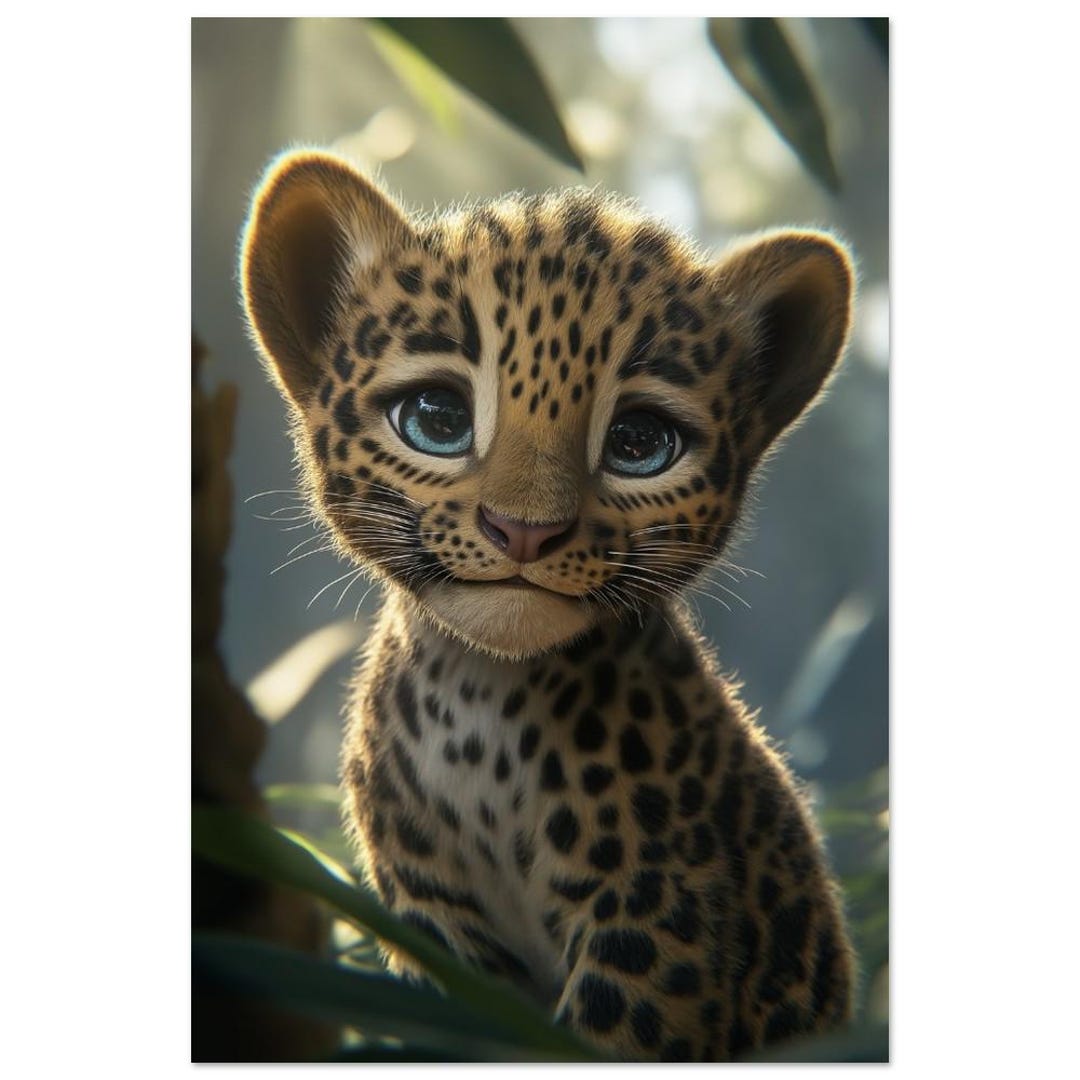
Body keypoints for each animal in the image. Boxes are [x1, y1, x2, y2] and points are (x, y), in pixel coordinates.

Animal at [240, 148, 857, 1062]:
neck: (480, 704)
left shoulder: (656, 921)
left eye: (639, 443)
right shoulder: (439, 927)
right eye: (436, 418)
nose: (524, 530)